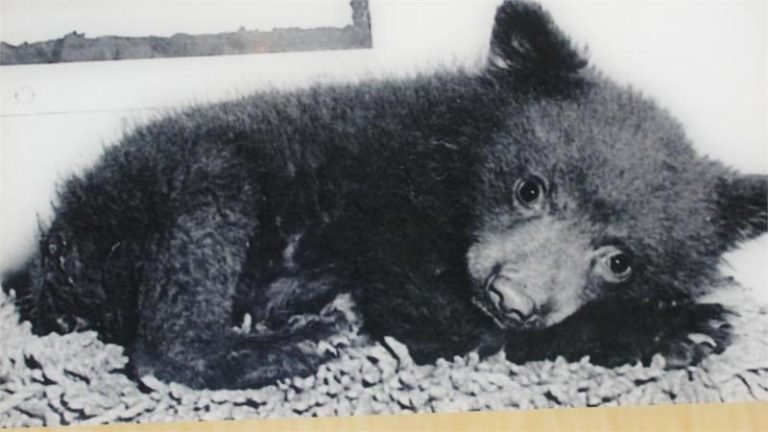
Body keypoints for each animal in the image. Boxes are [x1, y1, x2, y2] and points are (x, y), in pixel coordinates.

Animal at [2, 0, 766, 390]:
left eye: (619, 261)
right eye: (530, 188)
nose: (512, 298)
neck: (456, 164)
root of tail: (47, 266)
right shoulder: (396, 220)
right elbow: (450, 328)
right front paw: (682, 327)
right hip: (196, 177)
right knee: (169, 331)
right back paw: (288, 345)